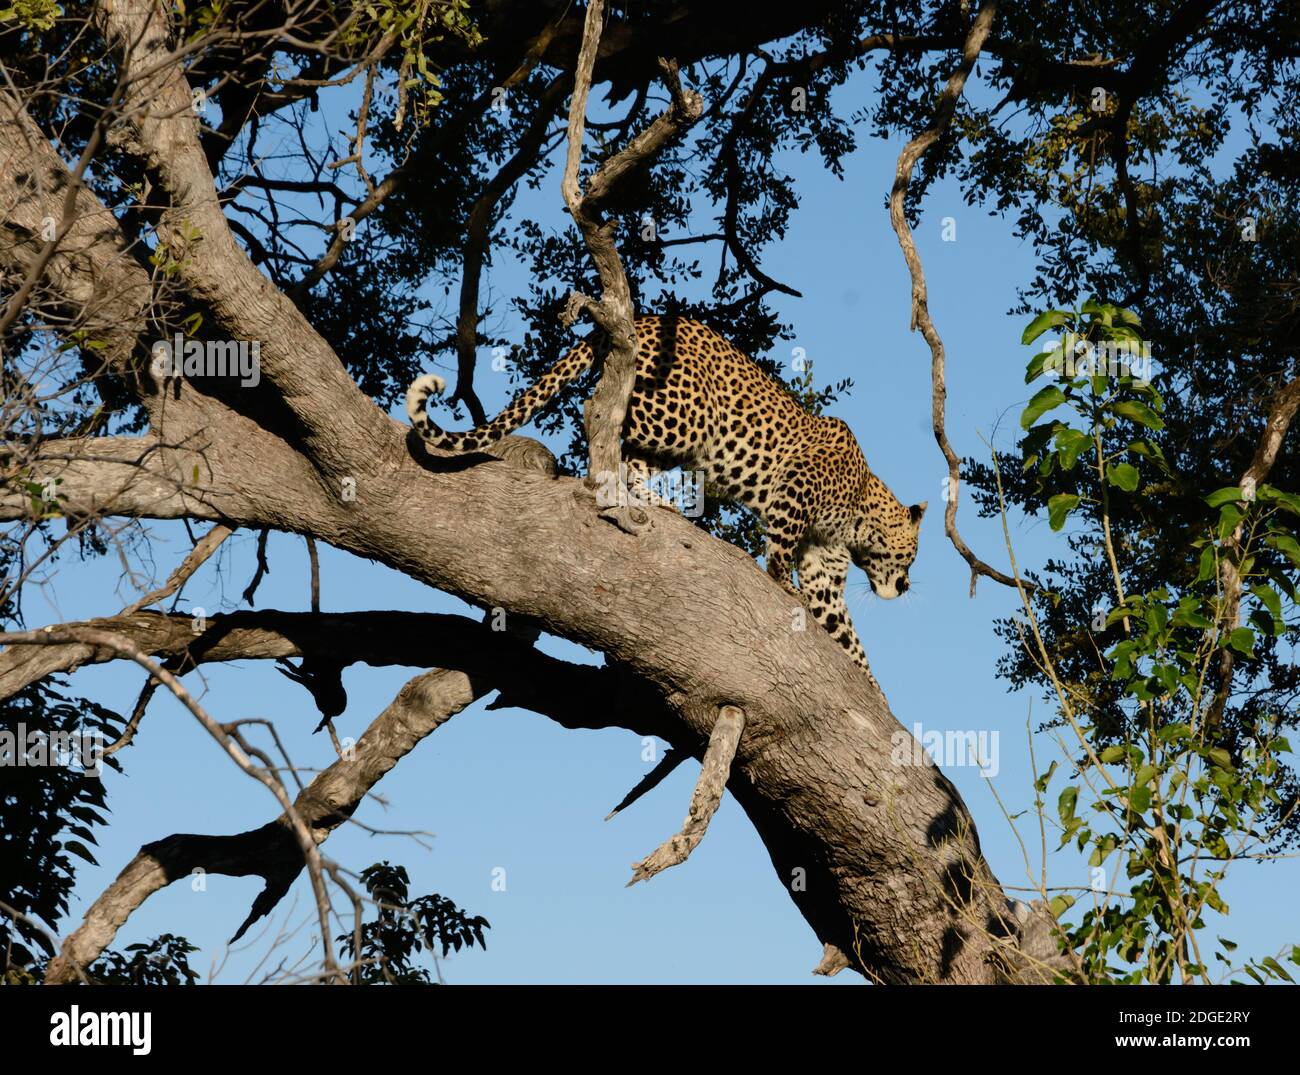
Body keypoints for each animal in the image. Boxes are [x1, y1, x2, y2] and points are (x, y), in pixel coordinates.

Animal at [406, 315, 924, 686]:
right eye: (911, 558)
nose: (903, 588)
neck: (860, 512)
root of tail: (645, 319)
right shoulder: (795, 489)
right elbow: (780, 551)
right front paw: (781, 583)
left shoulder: (824, 565)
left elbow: (847, 634)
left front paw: (875, 691)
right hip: (685, 417)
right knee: (602, 414)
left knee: (632, 458)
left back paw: (661, 503)